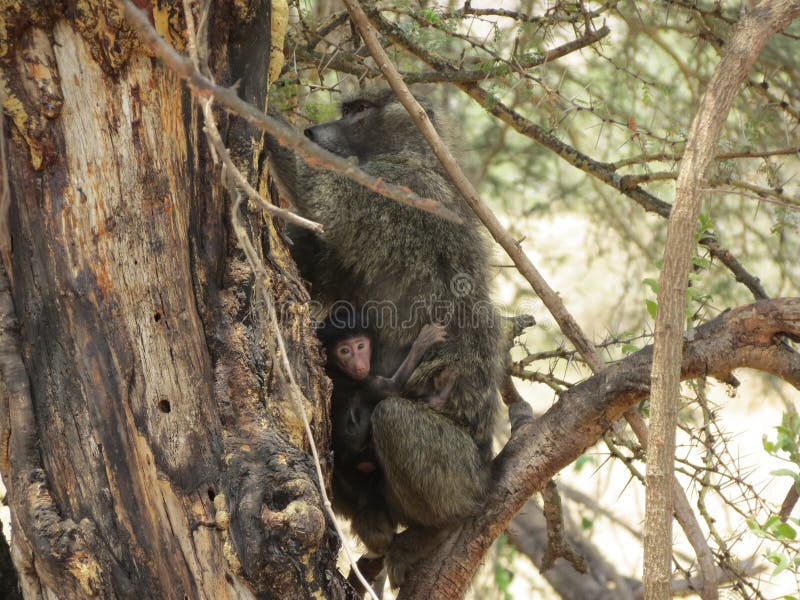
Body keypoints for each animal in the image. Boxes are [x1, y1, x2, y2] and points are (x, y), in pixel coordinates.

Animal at [267, 87, 505, 585]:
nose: (312, 130)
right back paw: (373, 527)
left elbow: (325, 193)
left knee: (394, 418)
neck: (417, 152)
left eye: (359, 111)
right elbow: (315, 267)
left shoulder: (402, 185)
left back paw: (430, 533)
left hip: (462, 479)